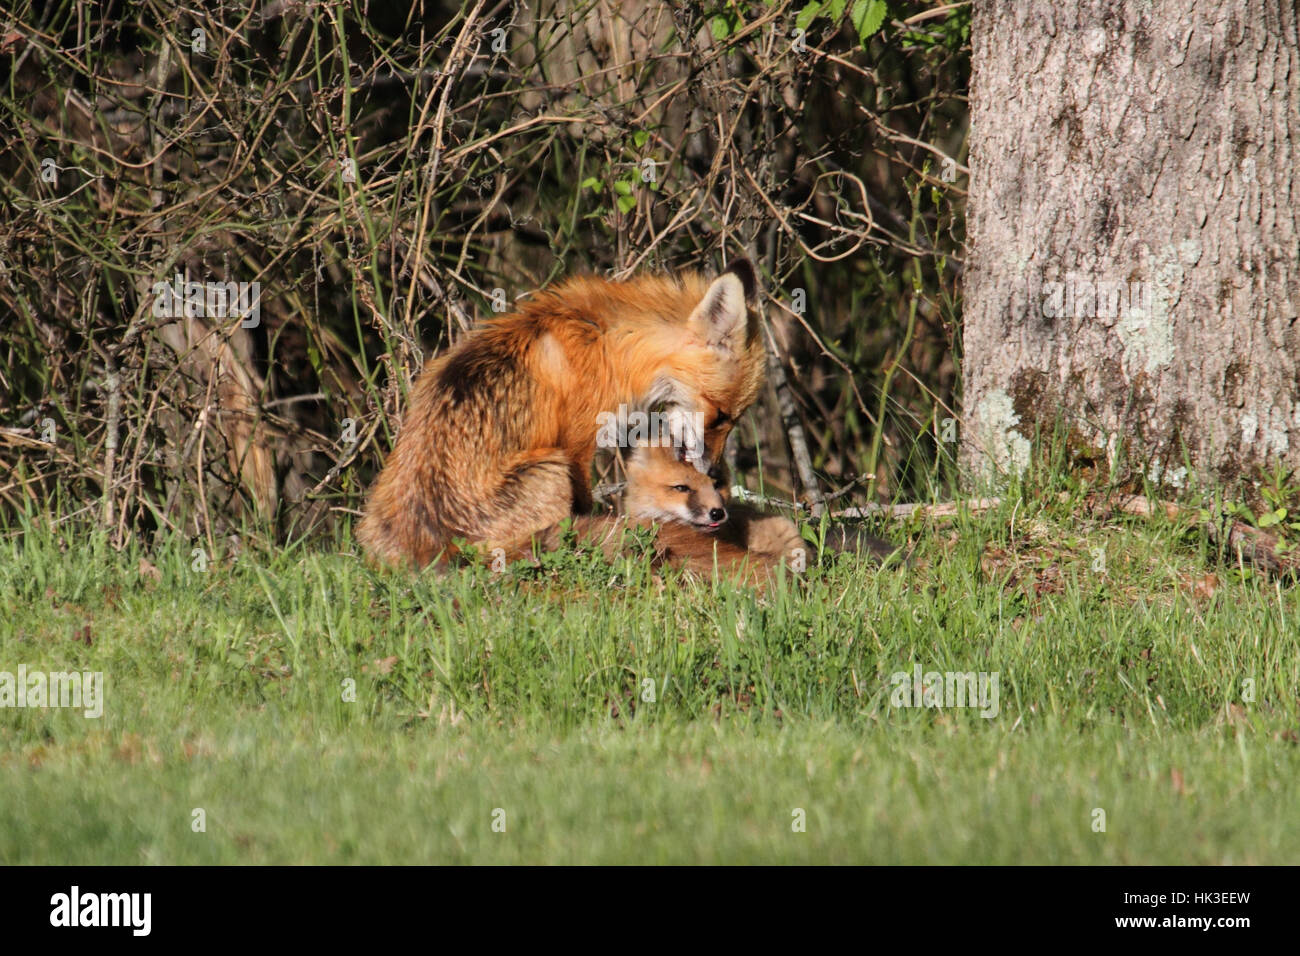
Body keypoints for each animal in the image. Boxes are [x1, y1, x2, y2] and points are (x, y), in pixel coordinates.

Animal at [358, 259, 766, 567]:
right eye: (721, 416)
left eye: (734, 418)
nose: (712, 471)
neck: (610, 342)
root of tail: (424, 550)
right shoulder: (576, 443)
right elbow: (584, 507)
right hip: (550, 468)